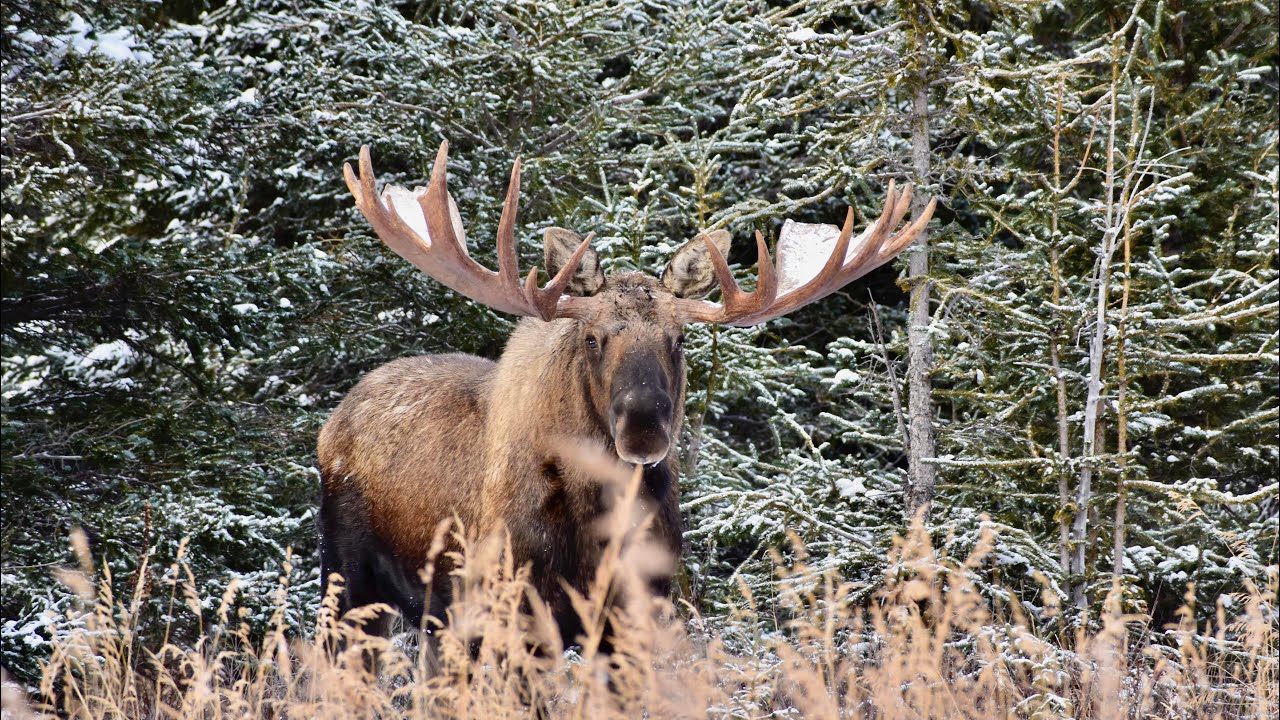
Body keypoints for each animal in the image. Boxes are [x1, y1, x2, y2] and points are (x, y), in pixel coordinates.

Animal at [318, 141, 935, 648]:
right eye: (593, 338)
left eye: (680, 339)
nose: (642, 427)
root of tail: (332, 422)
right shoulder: (515, 612)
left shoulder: (637, 610)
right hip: (349, 581)